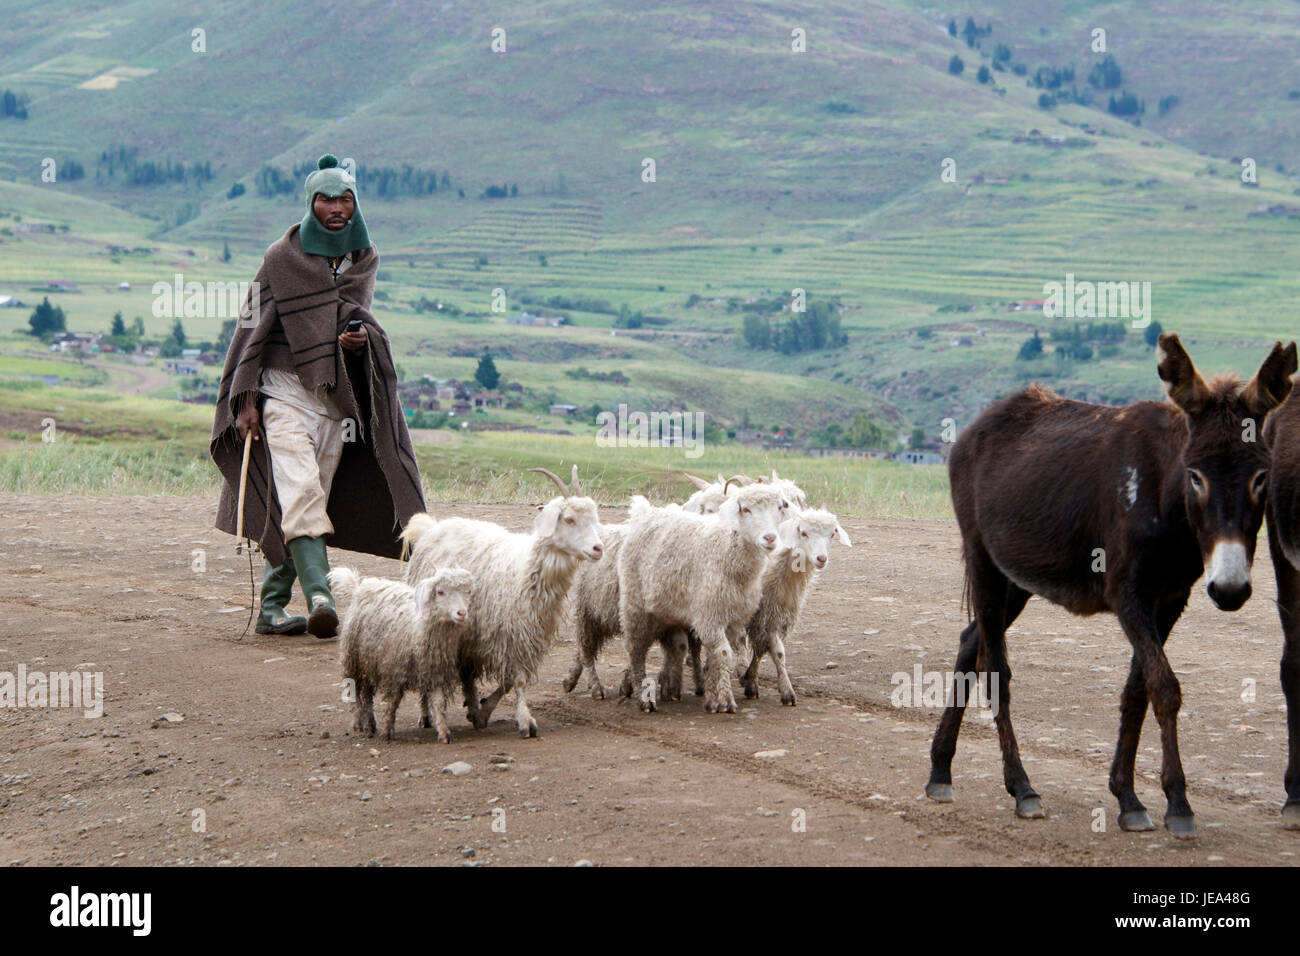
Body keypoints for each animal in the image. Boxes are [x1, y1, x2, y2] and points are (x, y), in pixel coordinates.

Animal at [329, 565, 473, 742]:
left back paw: (370, 723)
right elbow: (393, 702)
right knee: (354, 690)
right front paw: (387, 730)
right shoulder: (394, 671)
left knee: (368, 695)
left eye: (468, 591)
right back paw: (358, 723)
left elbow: (439, 703)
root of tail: (361, 586)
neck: (418, 629)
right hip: (352, 657)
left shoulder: (436, 672)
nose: (461, 613)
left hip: (369, 659)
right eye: (440, 592)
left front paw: (444, 732)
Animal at [401, 466, 603, 738]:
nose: (598, 548)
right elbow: (516, 680)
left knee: (467, 673)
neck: (524, 571)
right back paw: (426, 714)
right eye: (569, 519)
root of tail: (432, 527)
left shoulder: (521, 637)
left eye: (593, 519)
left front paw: (484, 711)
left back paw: (471, 706)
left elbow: (509, 680)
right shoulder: (508, 634)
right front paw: (525, 720)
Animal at [617, 482, 786, 714]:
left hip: (666, 611)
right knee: (635, 649)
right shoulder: (709, 615)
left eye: (778, 508)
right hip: (635, 603)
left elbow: (717, 656)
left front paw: (713, 699)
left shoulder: (732, 619)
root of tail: (645, 513)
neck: (727, 549)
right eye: (746, 509)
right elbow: (723, 654)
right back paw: (644, 700)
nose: (770, 538)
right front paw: (726, 701)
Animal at [738, 507, 851, 705]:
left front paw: (752, 681)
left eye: (832, 534)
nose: (821, 559)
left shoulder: (772, 615)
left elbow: (769, 650)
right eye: (803, 533)